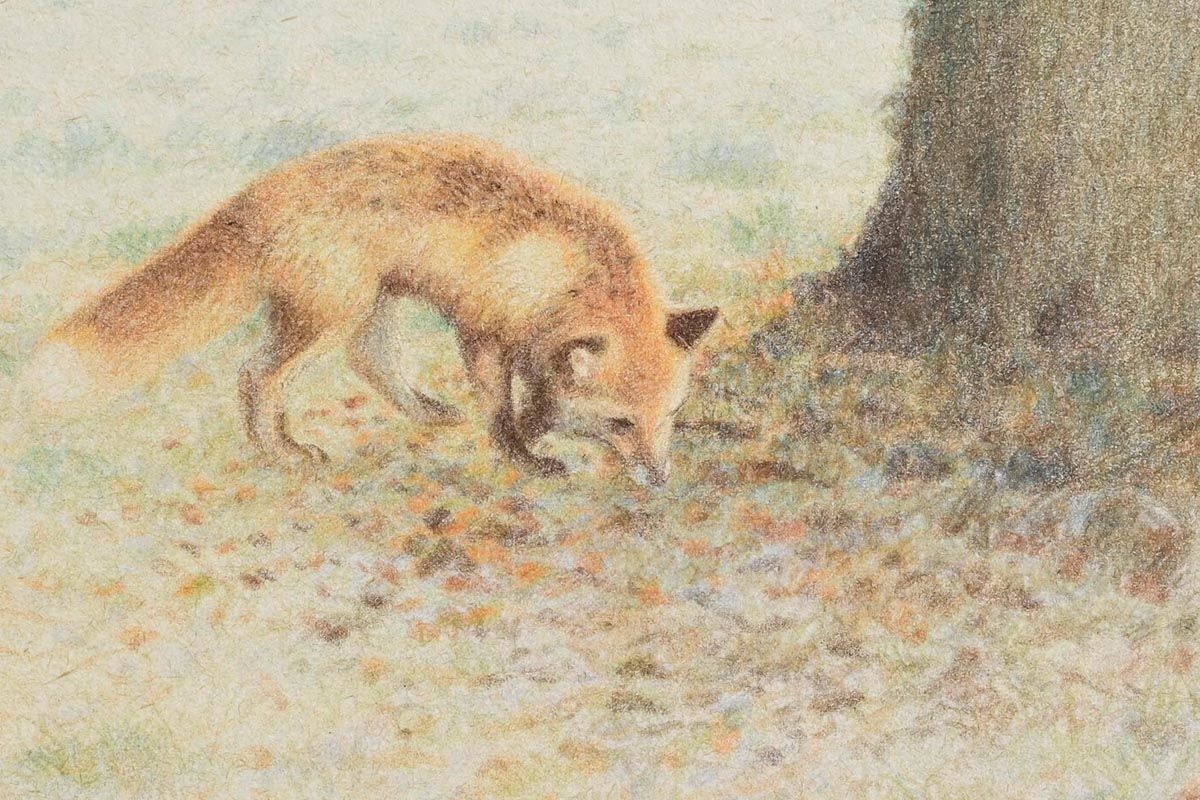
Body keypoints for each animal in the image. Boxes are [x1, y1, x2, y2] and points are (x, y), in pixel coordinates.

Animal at [31, 134, 718, 484]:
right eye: (621, 423)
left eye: (671, 414)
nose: (659, 478)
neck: (566, 275)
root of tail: (262, 193)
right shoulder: (483, 330)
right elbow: (501, 409)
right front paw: (522, 454)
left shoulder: (528, 343)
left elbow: (537, 400)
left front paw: (534, 431)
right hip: (331, 313)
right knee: (257, 375)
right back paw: (282, 454)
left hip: (371, 304)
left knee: (366, 363)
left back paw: (422, 412)